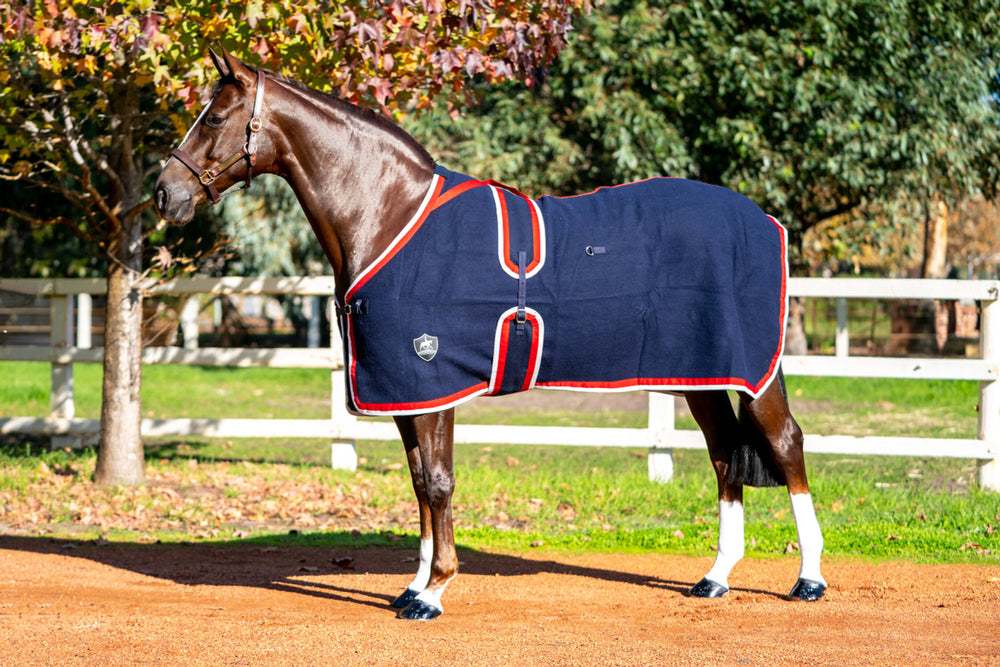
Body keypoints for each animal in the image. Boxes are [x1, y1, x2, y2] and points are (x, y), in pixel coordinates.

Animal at [154, 49, 827, 620]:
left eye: (215, 116)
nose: (166, 193)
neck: (390, 213)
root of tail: (763, 218)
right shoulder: (407, 389)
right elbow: (420, 484)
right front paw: (413, 587)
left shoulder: (432, 380)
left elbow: (438, 482)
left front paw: (435, 592)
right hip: (700, 377)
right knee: (725, 455)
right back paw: (715, 578)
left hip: (753, 373)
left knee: (785, 443)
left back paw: (809, 580)